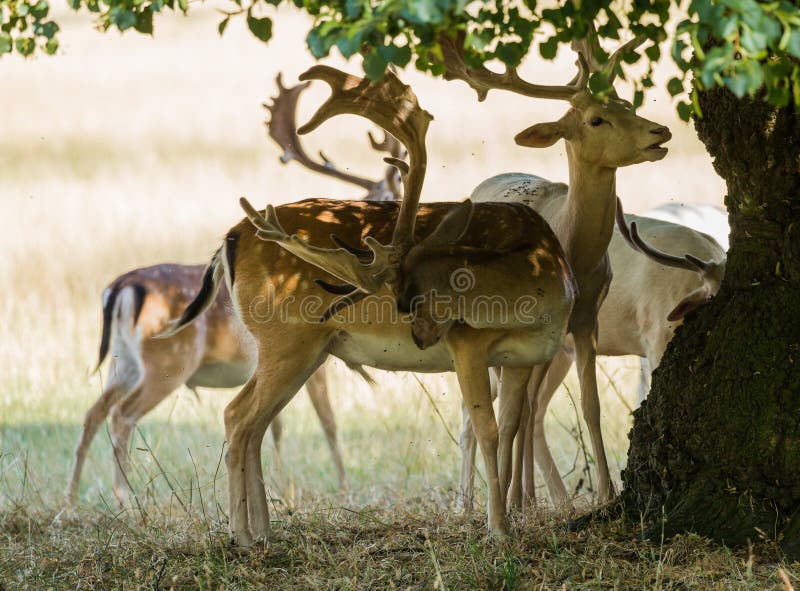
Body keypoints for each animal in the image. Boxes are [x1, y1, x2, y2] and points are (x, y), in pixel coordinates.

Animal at [67, 75, 403, 507]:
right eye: (386, 201)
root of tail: (120, 288)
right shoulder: (316, 353)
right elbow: (327, 421)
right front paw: (342, 487)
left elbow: (276, 424)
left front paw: (280, 486)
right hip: (166, 362)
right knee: (121, 415)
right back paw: (125, 496)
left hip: (121, 362)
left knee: (92, 413)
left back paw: (71, 500)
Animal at [161, 64, 579, 545]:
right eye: (405, 297)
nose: (420, 336)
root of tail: (232, 236)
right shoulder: (469, 347)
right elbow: (487, 430)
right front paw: (496, 529)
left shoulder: (522, 358)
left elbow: (512, 427)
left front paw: (510, 516)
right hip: (285, 338)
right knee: (237, 416)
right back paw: (243, 535)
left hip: (304, 349)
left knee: (255, 422)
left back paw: (264, 531)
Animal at [439, 28, 672, 506]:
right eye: (596, 120)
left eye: (626, 104)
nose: (660, 131)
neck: (573, 254)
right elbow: (514, 409)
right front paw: (508, 497)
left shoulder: (586, 319)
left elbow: (591, 404)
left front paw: (605, 492)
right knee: (501, 406)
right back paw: (489, 497)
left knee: (529, 406)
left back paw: (526, 495)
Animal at [460, 177, 727, 509]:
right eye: (714, 299)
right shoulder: (654, 334)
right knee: (474, 413)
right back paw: (466, 503)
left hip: (560, 354)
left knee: (533, 410)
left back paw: (556, 499)